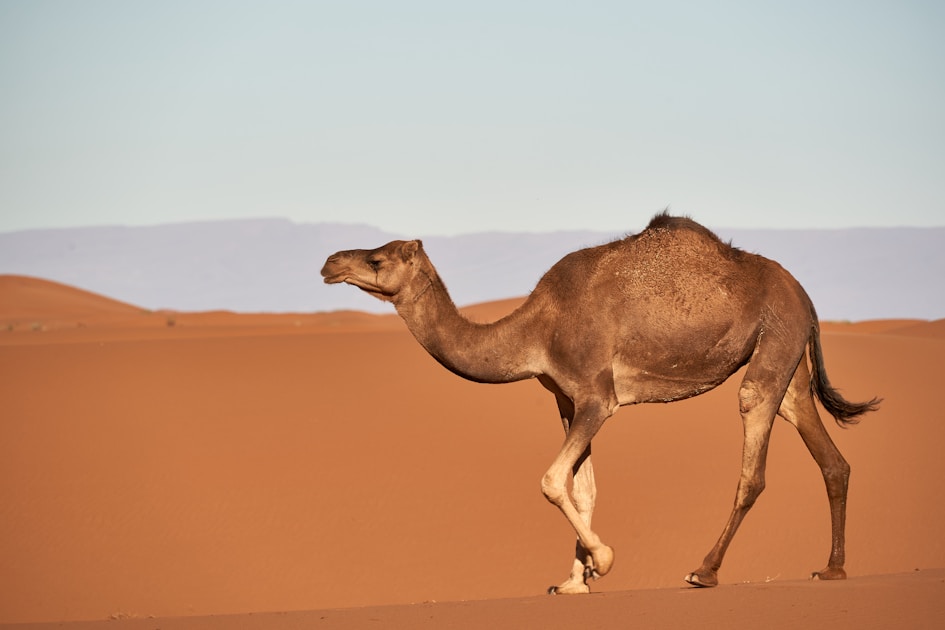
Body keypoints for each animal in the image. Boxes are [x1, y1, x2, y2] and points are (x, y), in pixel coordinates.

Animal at [320, 212, 880, 593]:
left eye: (376, 259)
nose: (329, 262)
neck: (537, 329)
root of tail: (805, 297)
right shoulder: (567, 401)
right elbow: (582, 487)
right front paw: (574, 580)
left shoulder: (597, 396)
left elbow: (551, 480)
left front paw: (603, 561)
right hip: (788, 358)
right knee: (827, 453)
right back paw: (832, 568)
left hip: (774, 342)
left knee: (753, 457)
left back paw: (704, 570)